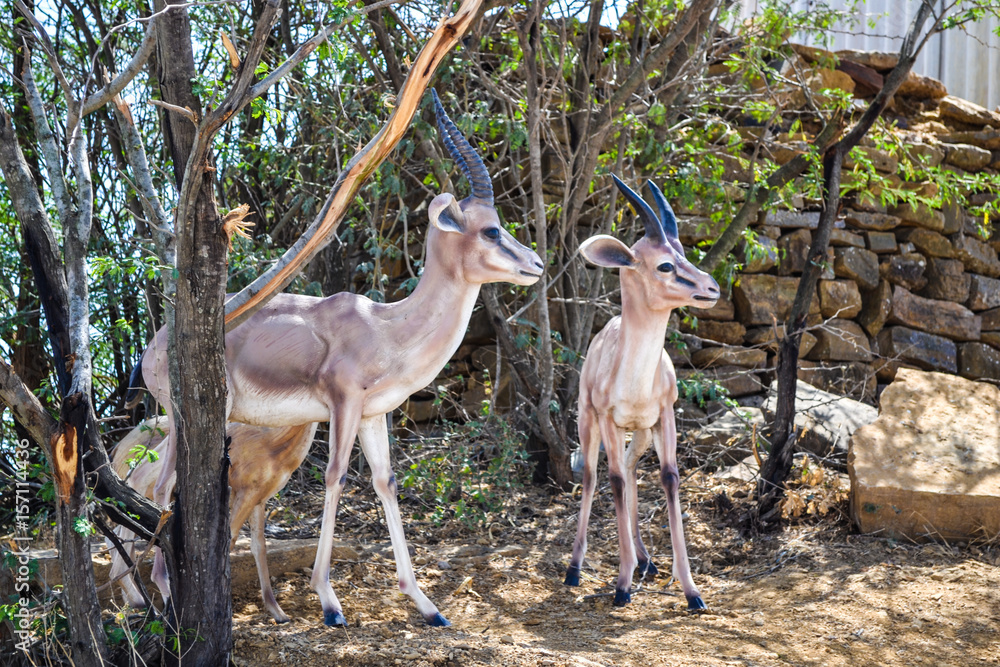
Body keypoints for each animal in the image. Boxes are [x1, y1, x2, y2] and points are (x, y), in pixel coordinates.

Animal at [108, 418, 316, 623]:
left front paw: (278, 612)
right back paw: (148, 602)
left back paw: (134, 604)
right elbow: (230, 540)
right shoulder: (246, 491)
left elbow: (259, 547)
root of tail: (116, 449)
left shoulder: (260, 498)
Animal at [136, 90, 543, 627]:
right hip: (190, 419)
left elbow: (385, 482)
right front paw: (329, 602)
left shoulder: (373, 414)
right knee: (163, 488)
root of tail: (154, 347)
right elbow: (335, 477)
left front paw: (427, 606)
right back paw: (163, 597)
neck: (387, 328)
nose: (536, 264)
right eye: (492, 231)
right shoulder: (343, 404)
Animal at [564, 175, 720, 610]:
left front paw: (691, 590)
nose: (712, 288)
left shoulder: (665, 416)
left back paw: (646, 561)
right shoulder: (609, 420)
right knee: (595, 477)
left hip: (643, 432)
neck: (634, 379)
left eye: (683, 253)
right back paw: (575, 569)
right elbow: (613, 481)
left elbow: (669, 478)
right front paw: (621, 584)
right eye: (664, 264)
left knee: (634, 469)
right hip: (590, 423)